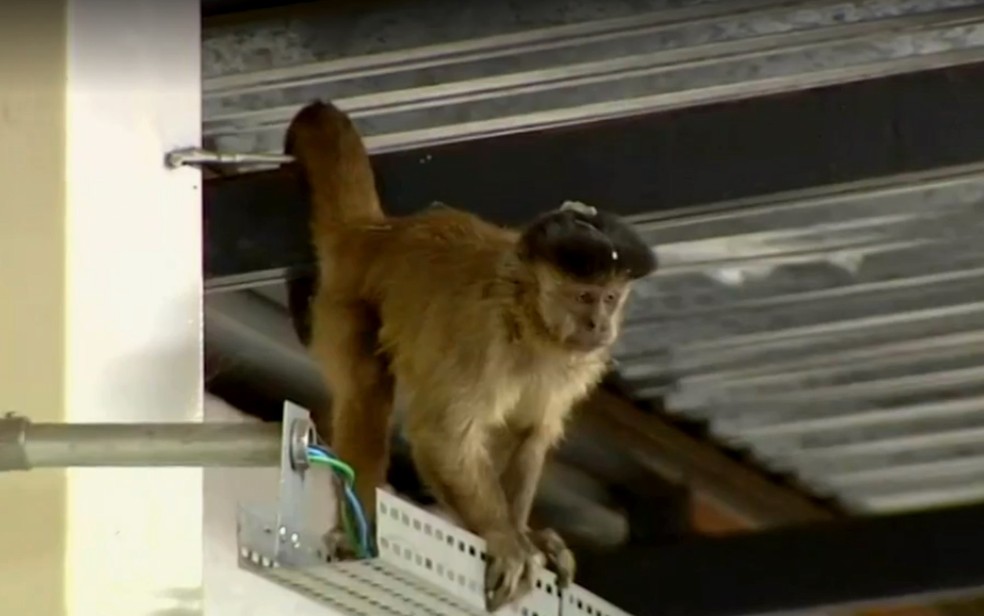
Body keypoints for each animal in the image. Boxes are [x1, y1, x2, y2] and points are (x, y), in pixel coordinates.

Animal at [283, 100, 657, 612]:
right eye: (584, 298)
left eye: (611, 299)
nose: (600, 325)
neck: (528, 317)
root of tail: (380, 232)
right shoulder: (482, 334)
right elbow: (443, 435)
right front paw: (505, 539)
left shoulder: (574, 365)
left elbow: (528, 432)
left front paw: (523, 535)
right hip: (344, 300)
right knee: (367, 386)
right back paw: (360, 524)